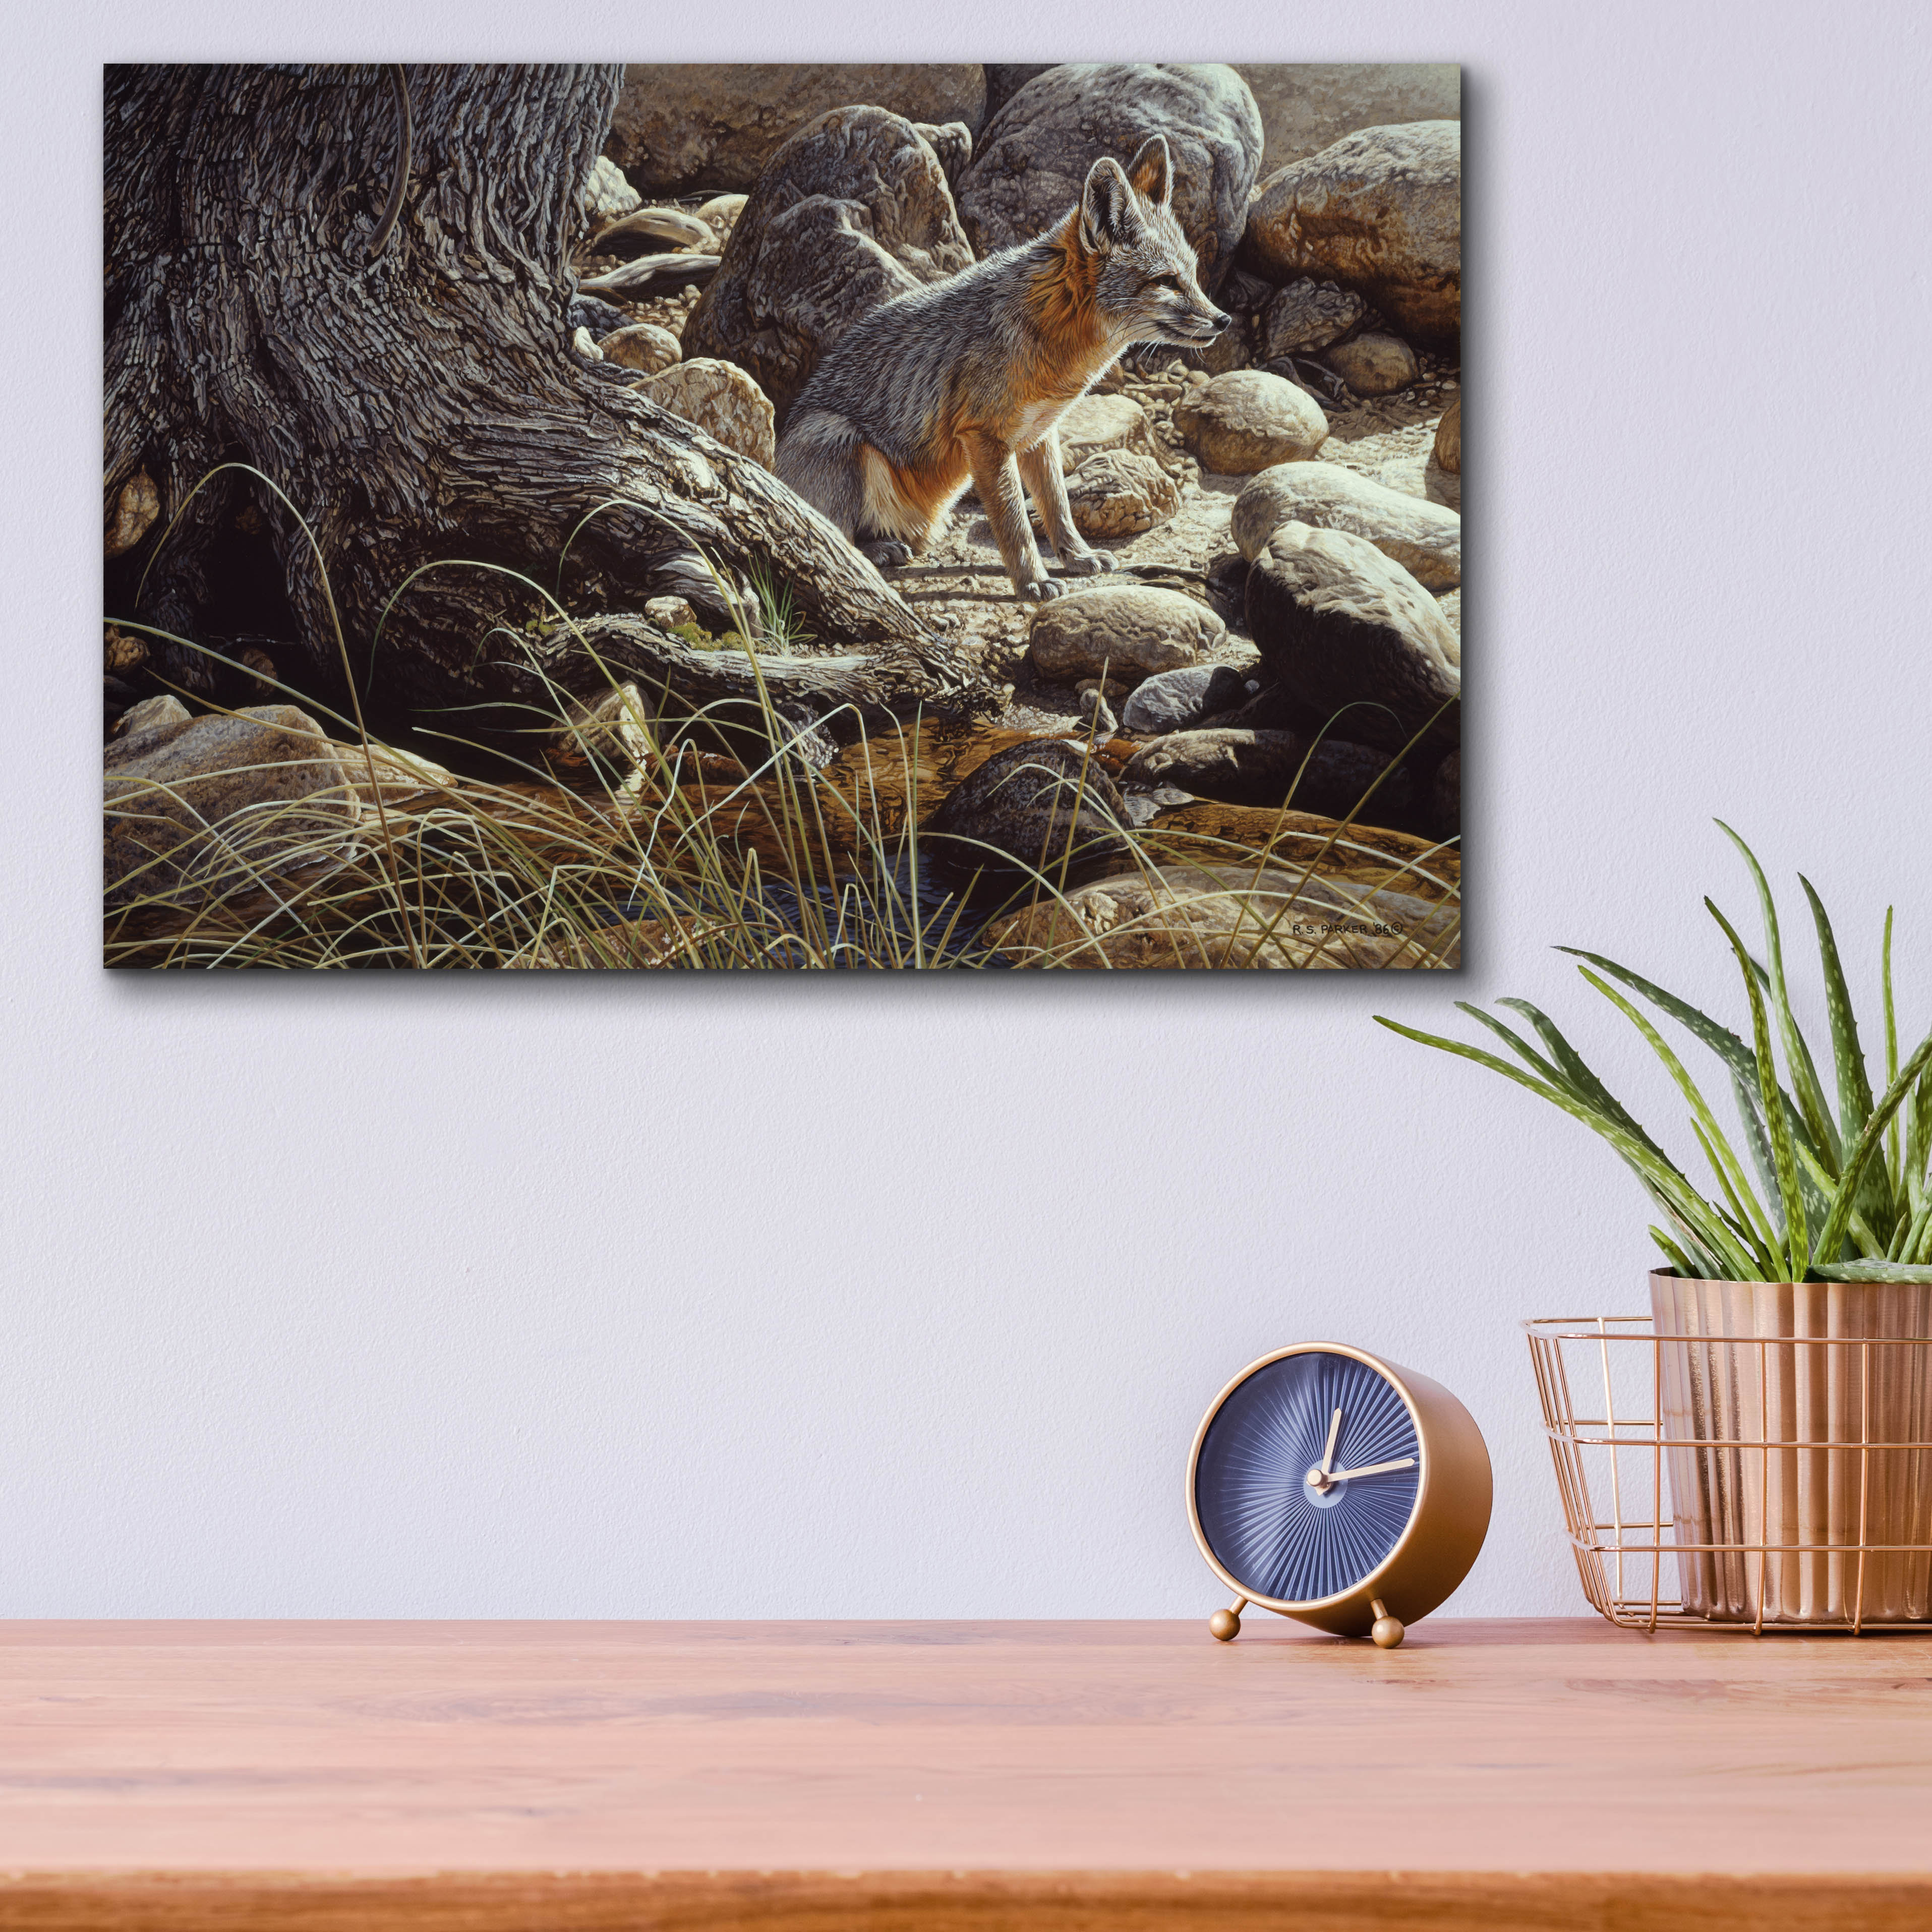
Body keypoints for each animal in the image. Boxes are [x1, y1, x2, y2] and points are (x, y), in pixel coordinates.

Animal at [775, 133, 1230, 601]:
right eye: (1167, 282)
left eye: (1193, 275)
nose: (1223, 320)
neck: (1050, 332)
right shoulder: (986, 439)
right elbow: (1013, 523)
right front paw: (1033, 581)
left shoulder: (1039, 434)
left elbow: (1056, 504)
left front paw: (1077, 557)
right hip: (837, 436)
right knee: (829, 536)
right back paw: (873, 550)